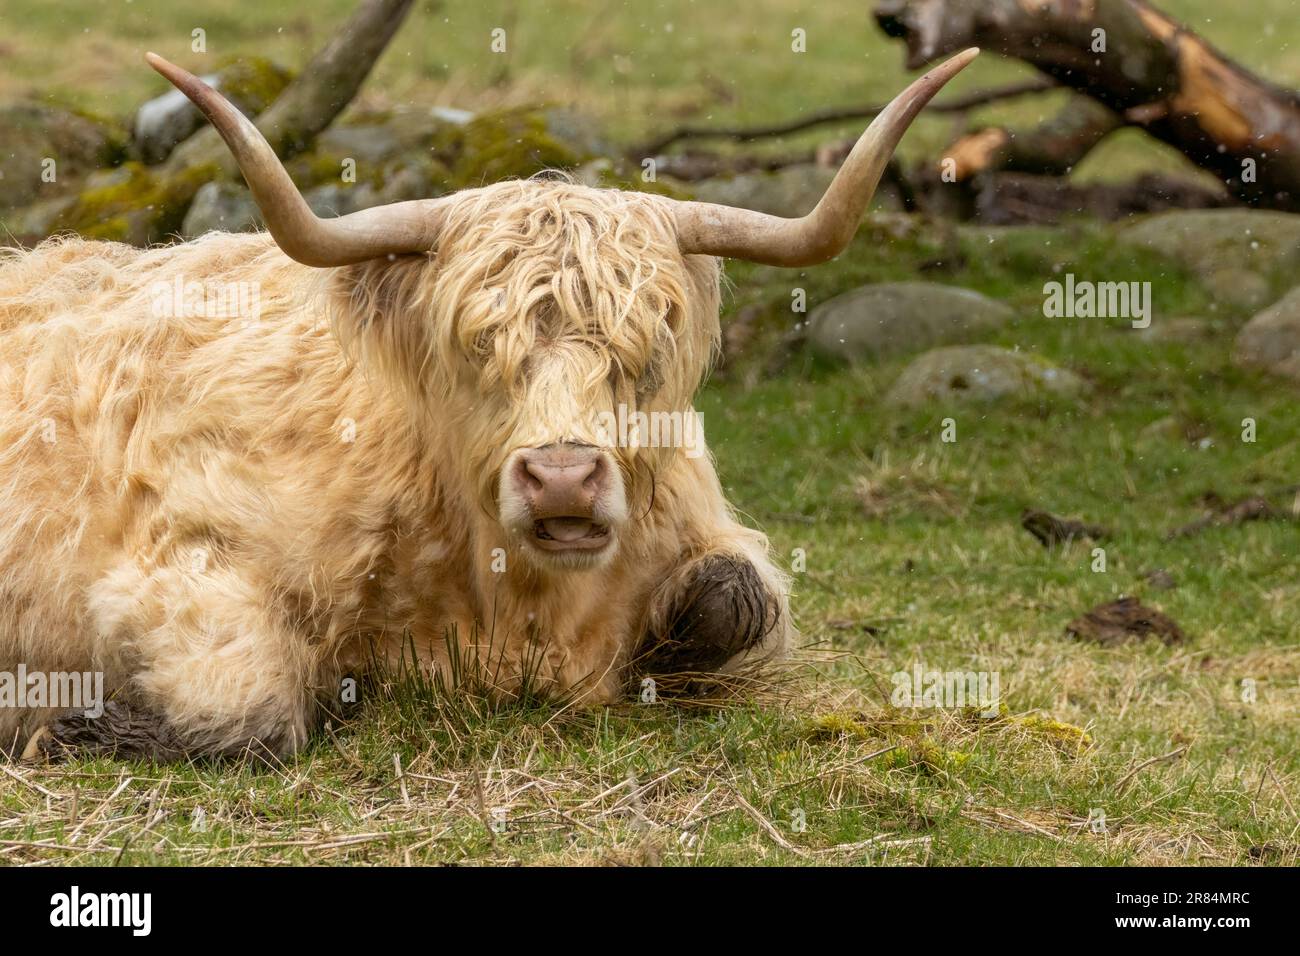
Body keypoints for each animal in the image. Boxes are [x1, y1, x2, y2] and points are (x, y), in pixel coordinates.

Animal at [0, 49, 977, 761]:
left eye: (647, 350)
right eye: (476, 346)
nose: (563, 479)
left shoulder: (713, 545)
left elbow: (737, 602)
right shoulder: (179, 569)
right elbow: (250, 708)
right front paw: (76, 726)